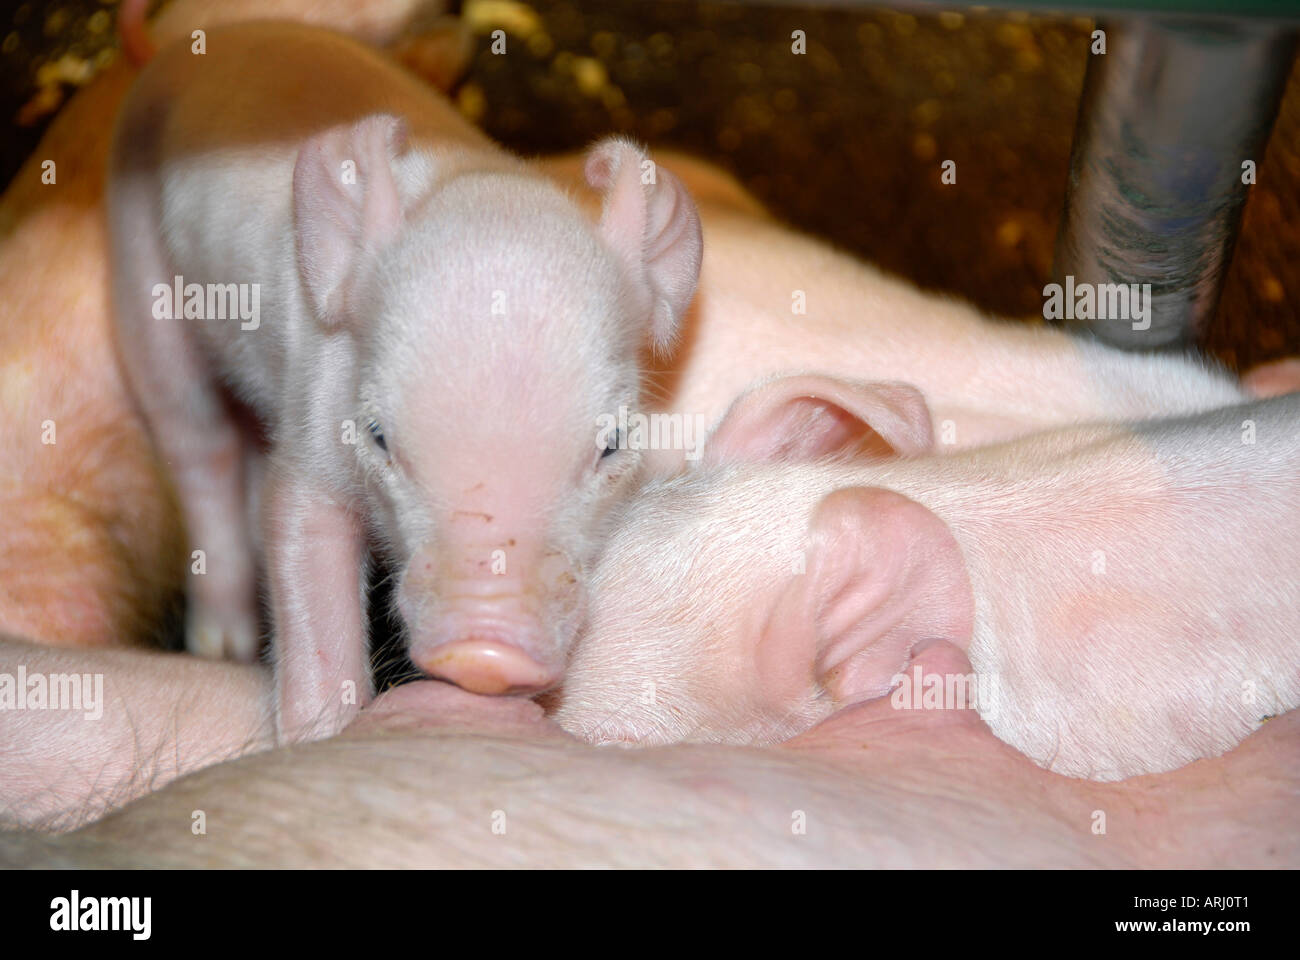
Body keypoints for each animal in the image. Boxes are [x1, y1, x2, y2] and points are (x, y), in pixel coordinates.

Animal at [107, 21, 701, 741]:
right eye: (378, 435)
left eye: (613, 442)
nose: (486, 652)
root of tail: (182, 46)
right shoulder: (315, 424)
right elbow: (299, 534)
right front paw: (321, 734)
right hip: (138, 262)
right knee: (194, 439)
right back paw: (223, 645)